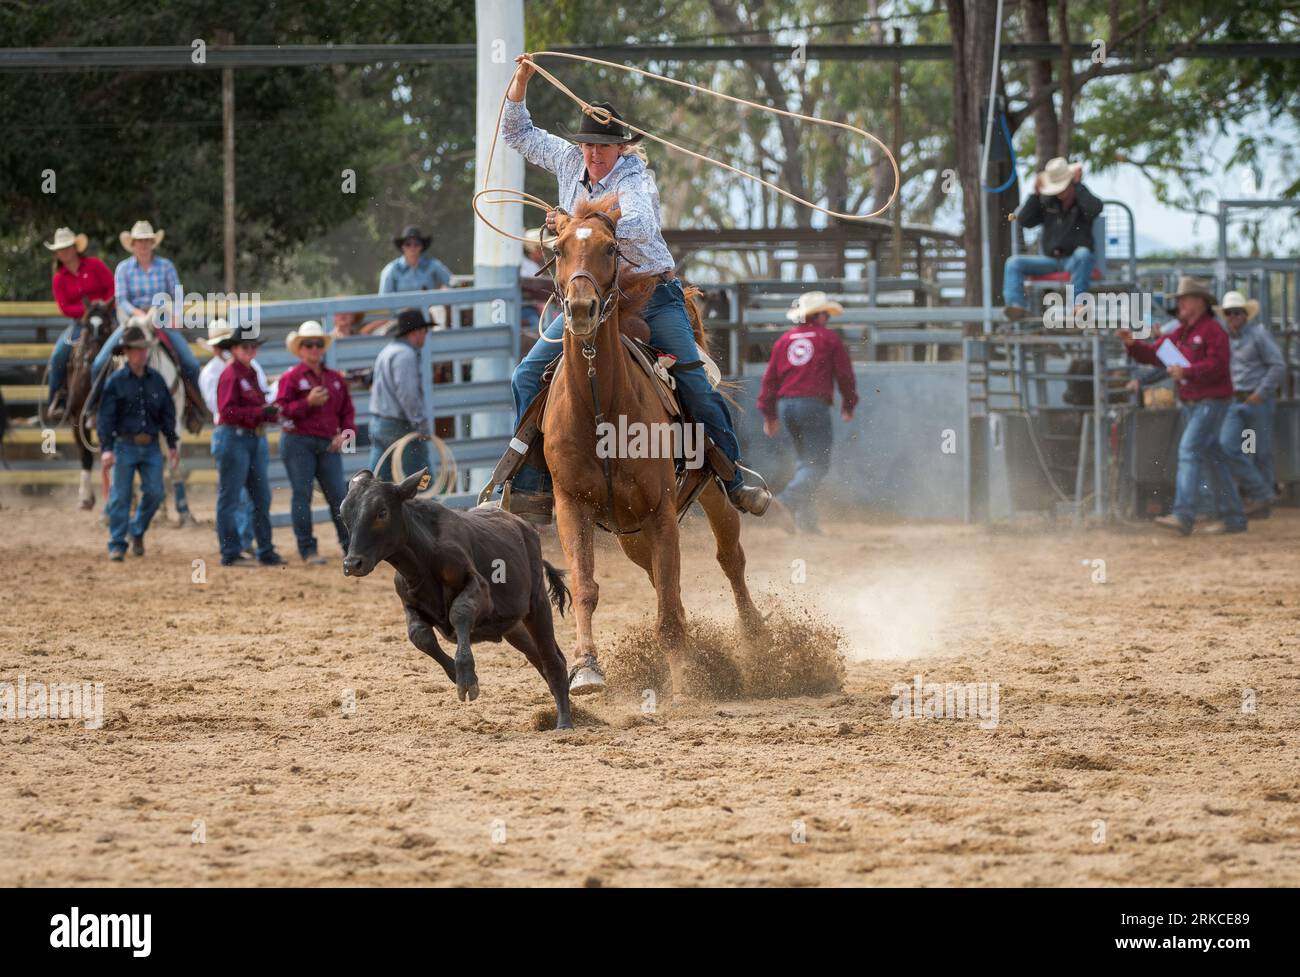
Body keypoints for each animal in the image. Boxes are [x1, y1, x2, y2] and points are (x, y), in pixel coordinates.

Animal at [340, 468, 574, 730]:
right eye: (343, 516)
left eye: (382, 512)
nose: (352, 563)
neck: (422, 561)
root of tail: (523, 525)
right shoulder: (409, 604)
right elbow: (419, 636)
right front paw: (457, 673)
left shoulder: (479, 589)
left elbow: (459, 612)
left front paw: (466, 677)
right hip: (514, 626)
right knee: (538, 656)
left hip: (537, 604)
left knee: (552, 661)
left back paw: (564, 722)